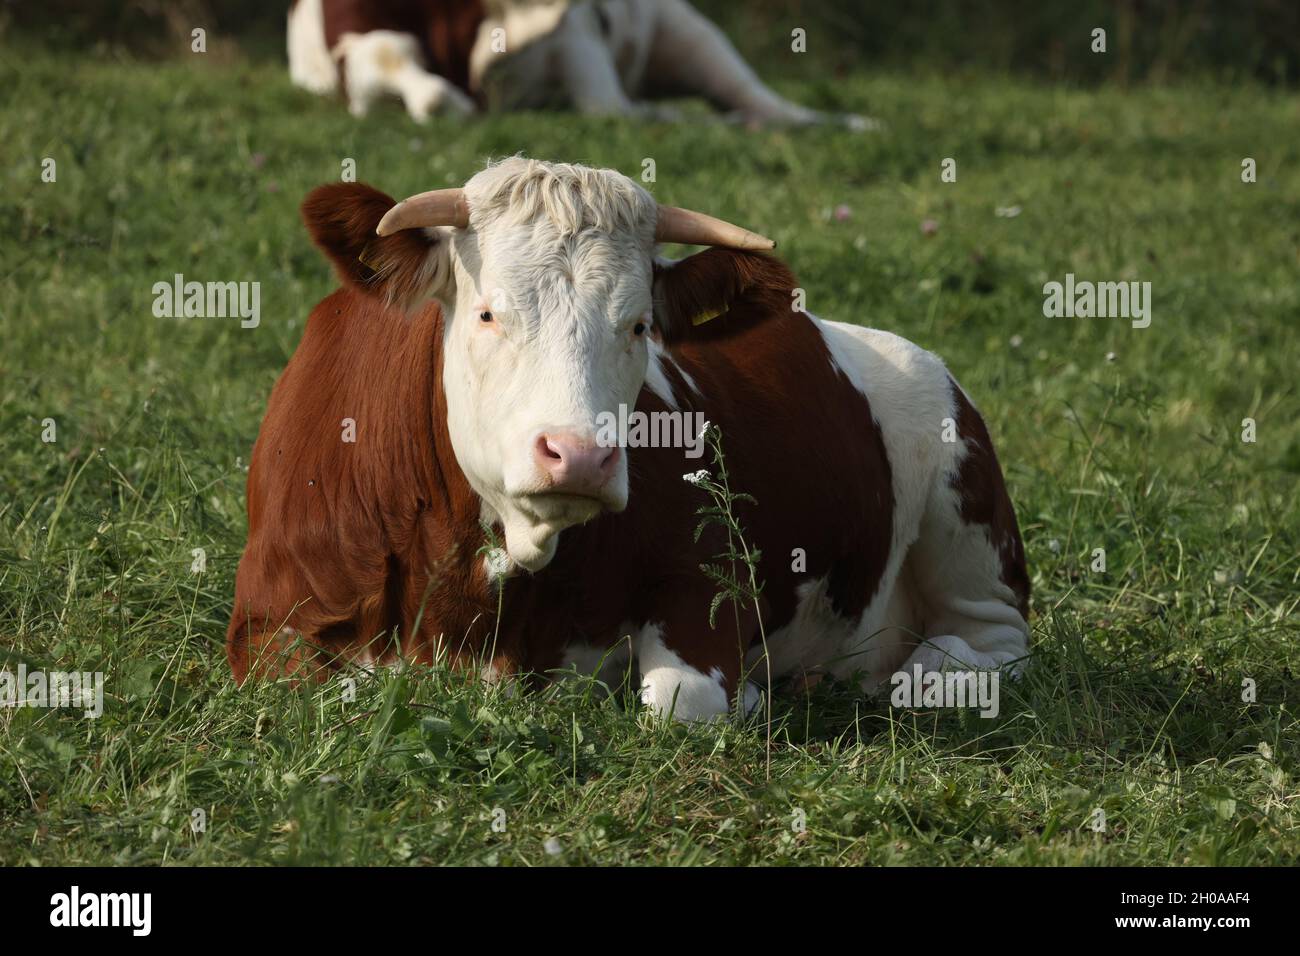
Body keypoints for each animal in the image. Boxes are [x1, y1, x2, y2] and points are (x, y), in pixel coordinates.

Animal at [227, 157, 1029, 721]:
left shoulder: (709, 578)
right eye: (486, 313)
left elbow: (680, 701)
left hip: (968, 520)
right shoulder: (266, 628)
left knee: (988, 644)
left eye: (640, 324)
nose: (580, 455)